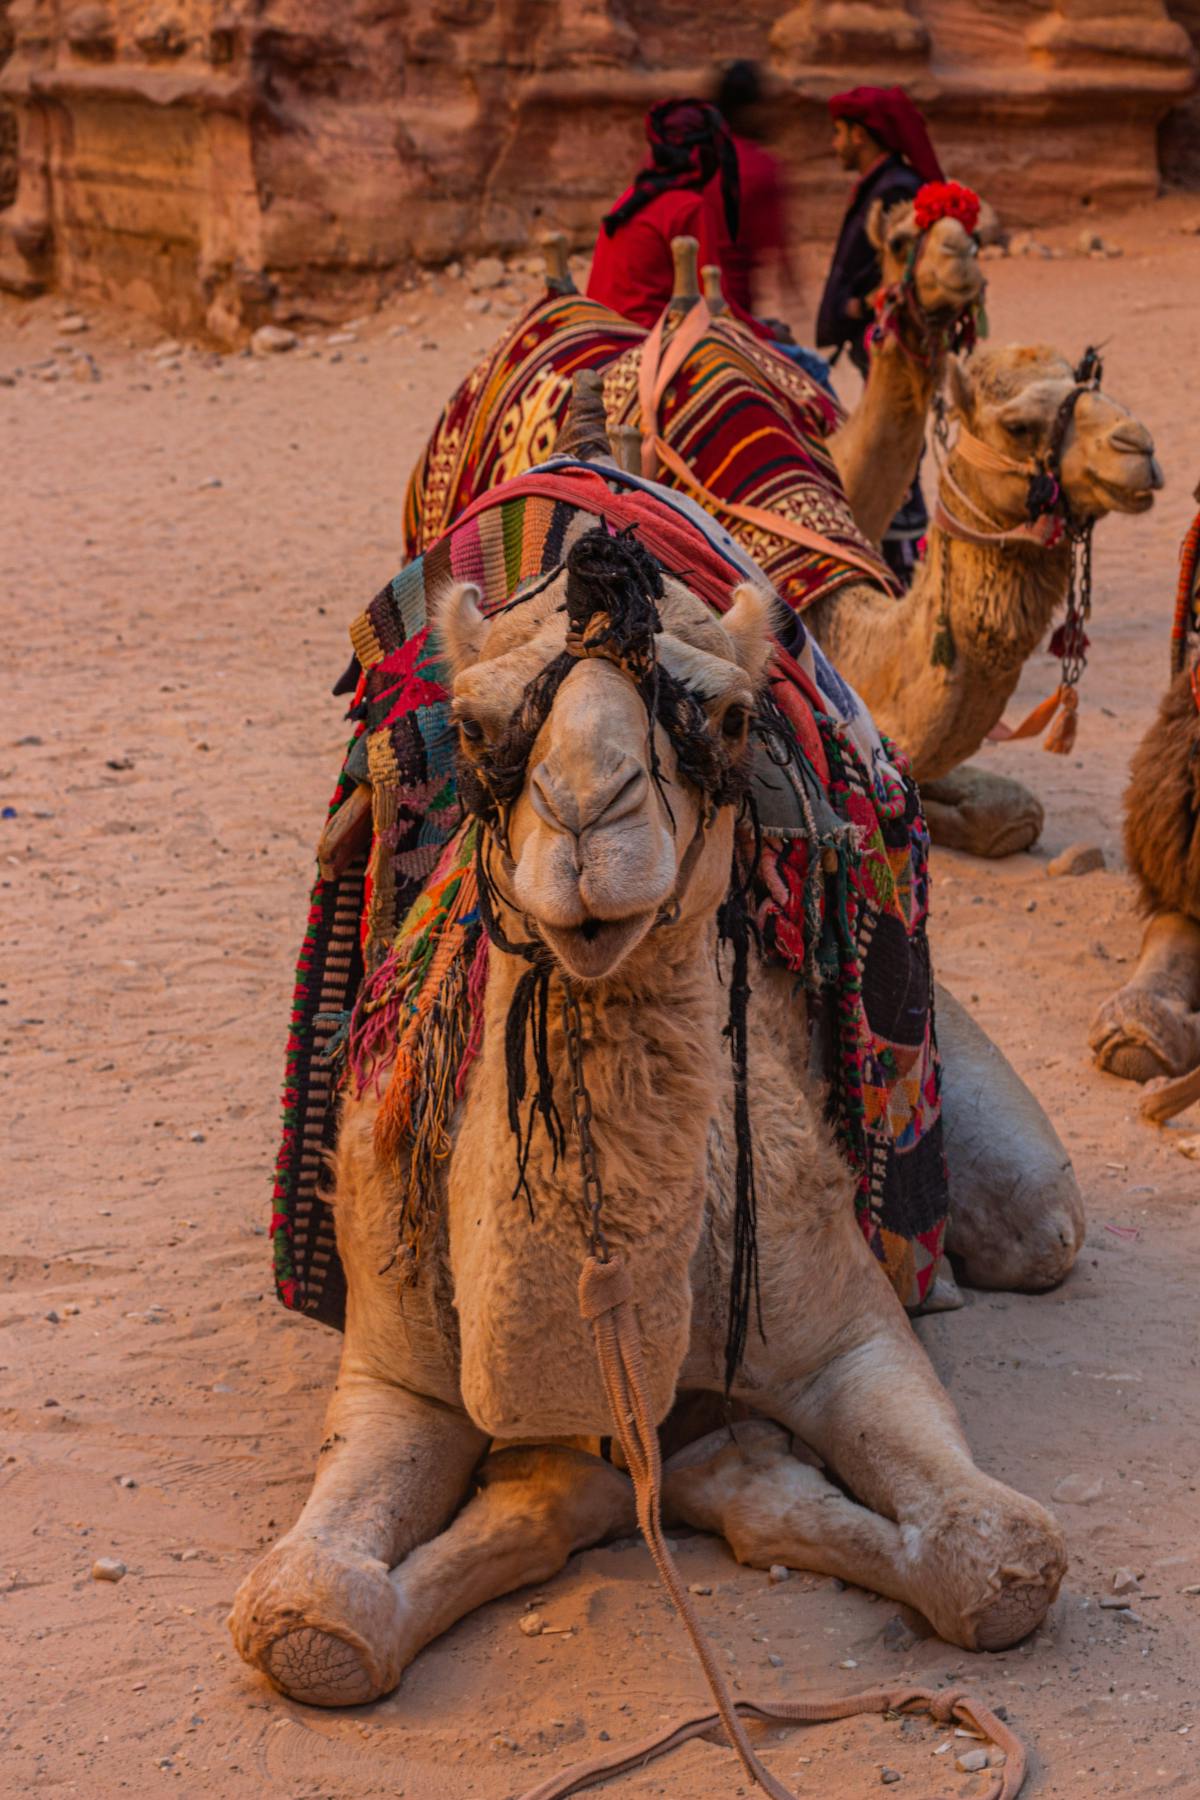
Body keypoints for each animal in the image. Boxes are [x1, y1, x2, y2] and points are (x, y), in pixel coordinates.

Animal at [230, 502, 1066, 1731]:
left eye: (725, 714)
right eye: (476, 727)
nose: (590, 816)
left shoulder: (844, 1327)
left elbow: (1003, 1558)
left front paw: (740, 1465)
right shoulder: (395, 1370)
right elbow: (307, 1618)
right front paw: (571, 1481)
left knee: (1041, 1229)